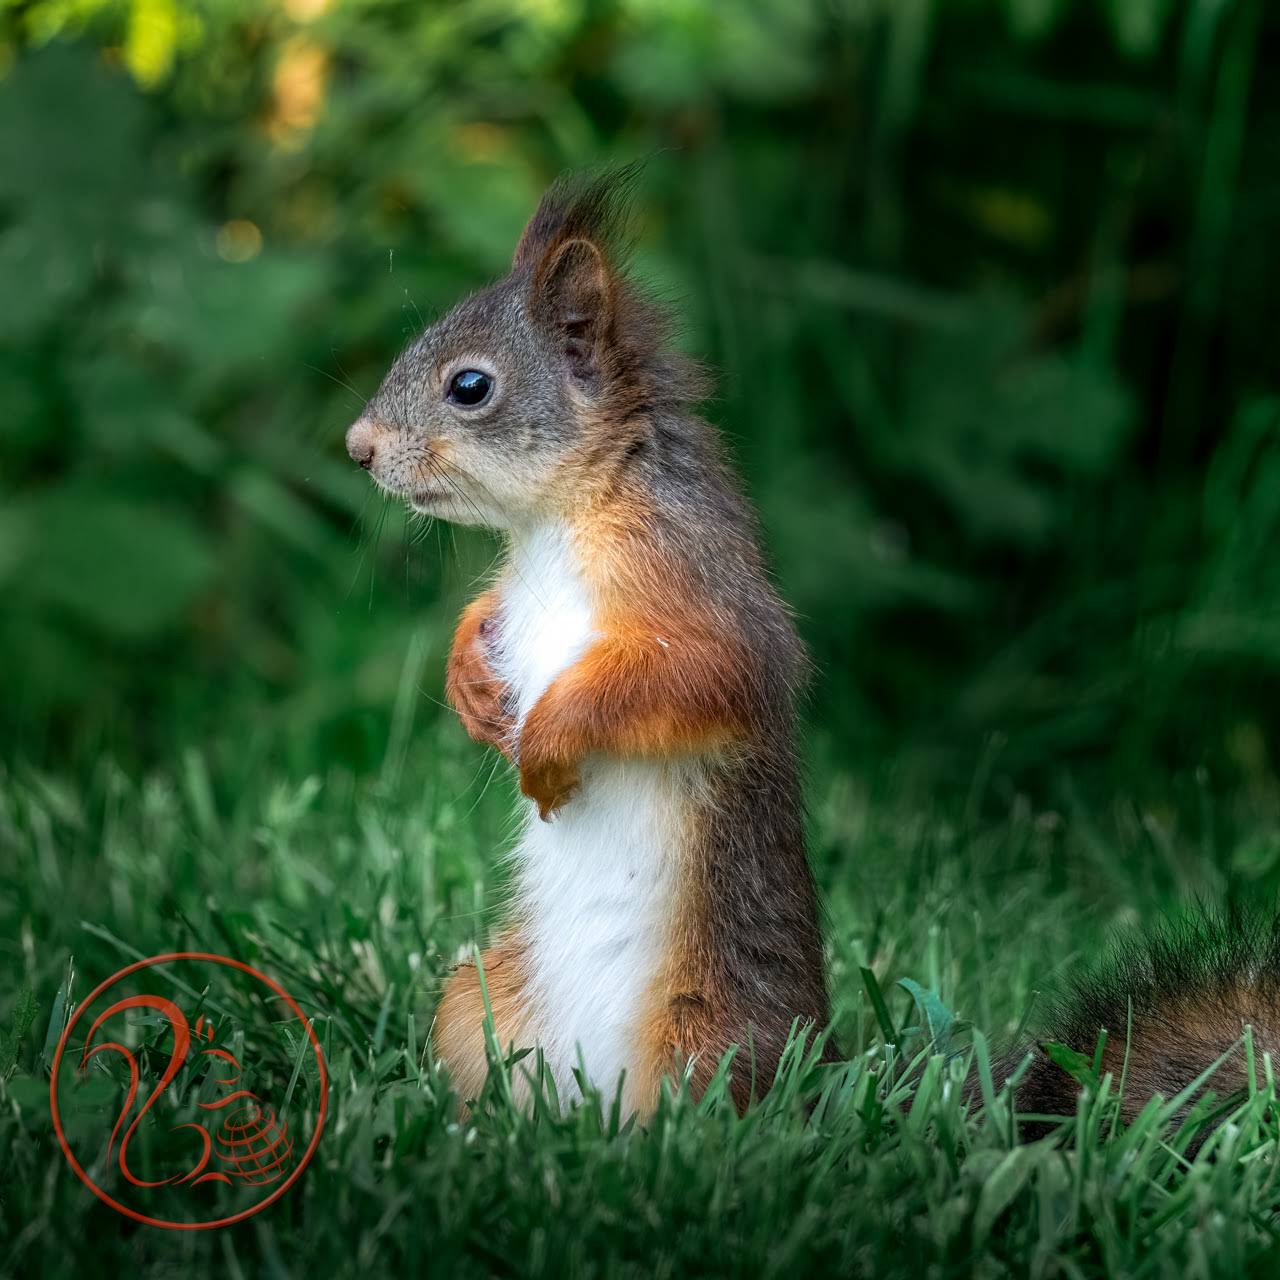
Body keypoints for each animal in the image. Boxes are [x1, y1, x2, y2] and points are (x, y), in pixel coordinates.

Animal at [347, 169, 1269, 1132]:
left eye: (470, 385)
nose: (357, 448)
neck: (560, 522)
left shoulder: (706, 597)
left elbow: (693, 679)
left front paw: (551, 740)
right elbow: (487, 616)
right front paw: (469, 680)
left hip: (700, 1035)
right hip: (477, 998)